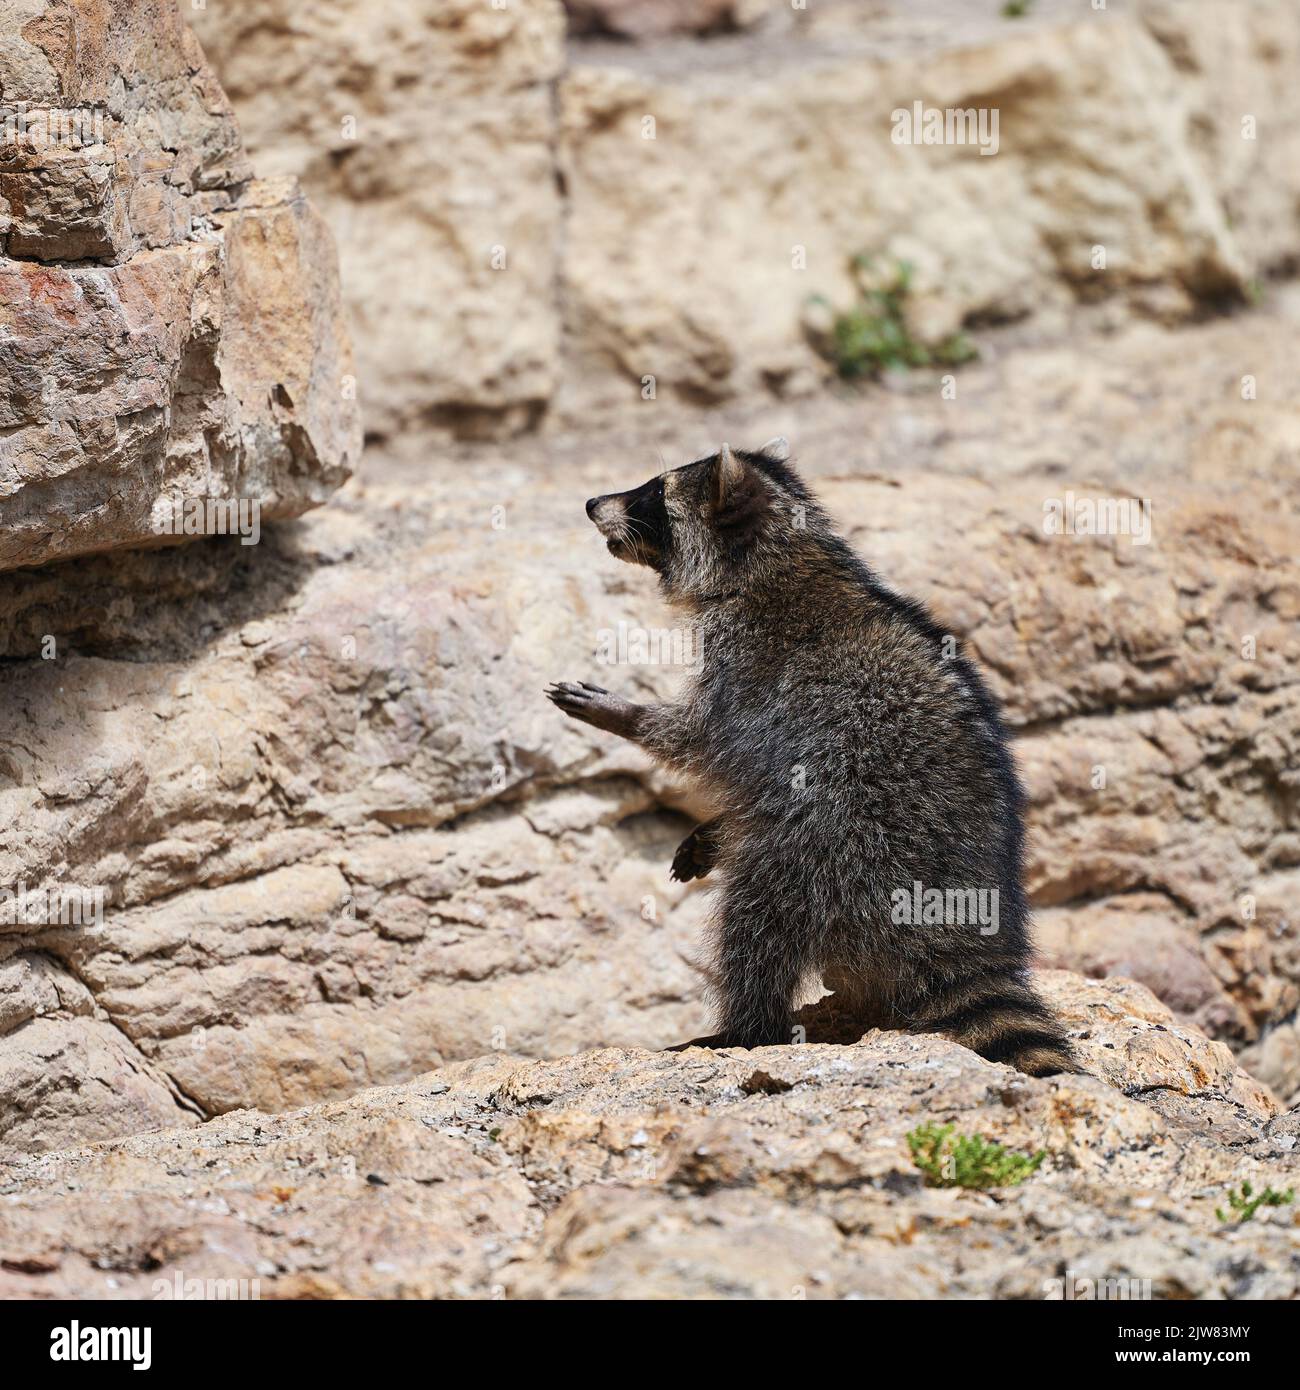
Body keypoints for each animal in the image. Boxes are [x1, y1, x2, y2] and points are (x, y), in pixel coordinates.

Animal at [547, 439, 1079, 1077]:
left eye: (652, 491)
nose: (590, 503)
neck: (777, 555)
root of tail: (957, 907)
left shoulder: (750, 672)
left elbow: (708, 746)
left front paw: (626, 715)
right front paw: (712, 830)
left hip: (836, 846)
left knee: (754, 920)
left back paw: (745, 1029)